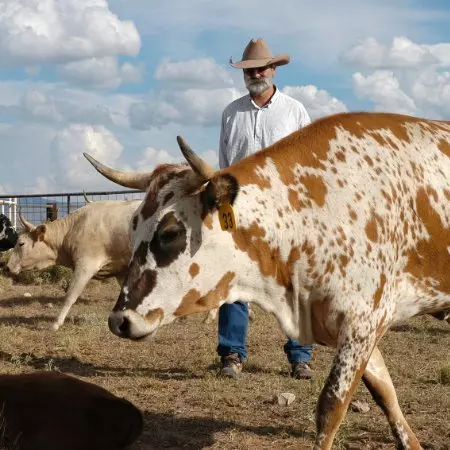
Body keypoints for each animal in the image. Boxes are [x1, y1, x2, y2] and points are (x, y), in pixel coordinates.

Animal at [7, 200, 141, 330]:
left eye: (21, 243)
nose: (7, 267)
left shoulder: (86, 265)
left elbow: (70, 295)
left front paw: (56, 323)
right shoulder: (120, 270)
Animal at [84, 111, 450, 446]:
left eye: (170, 232)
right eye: (133, 229)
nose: (120, 320)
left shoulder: (362, 320)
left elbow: (331, 407)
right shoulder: (355, 326)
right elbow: (385, 393)